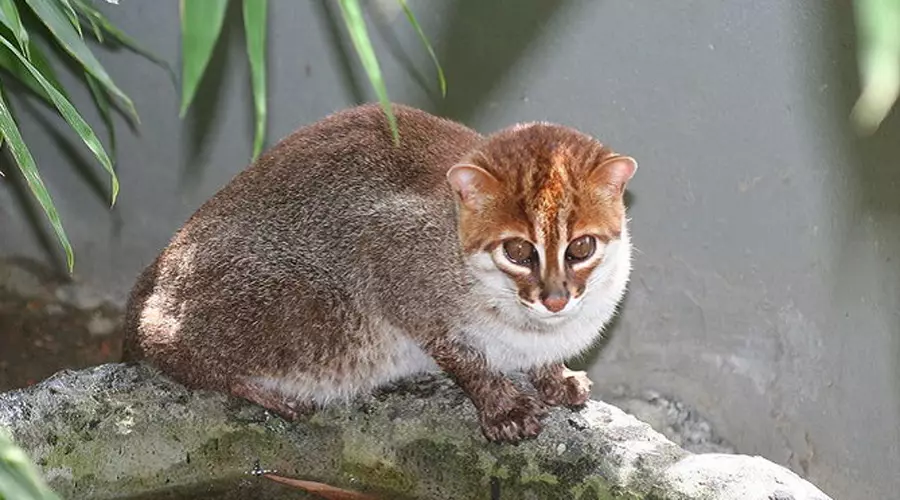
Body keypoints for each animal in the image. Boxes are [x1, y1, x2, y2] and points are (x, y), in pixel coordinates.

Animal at [123, 101, 636, 442]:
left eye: (581, 247)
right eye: (517, 250)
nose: (555, 298)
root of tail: (155, 272)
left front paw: (556, 376)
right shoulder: (385, 253)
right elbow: (463, 357)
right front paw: (502, 403)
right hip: (311, 313)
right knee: (174, 350)